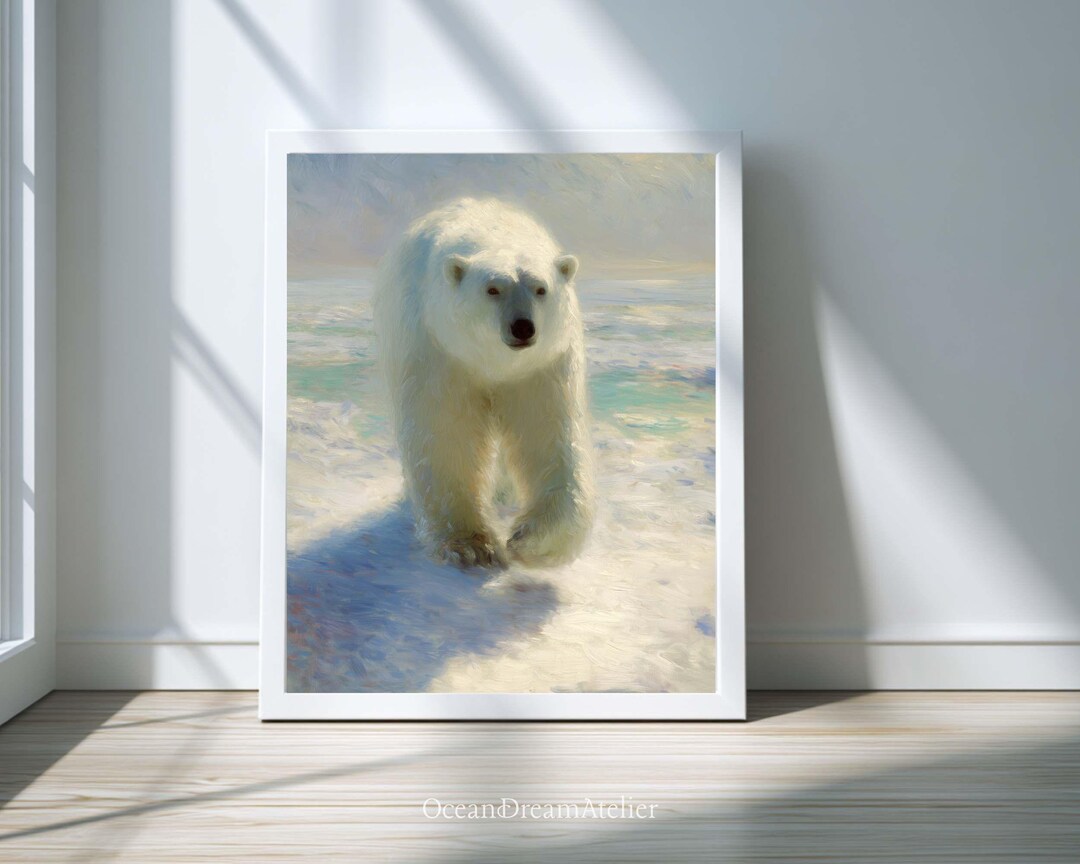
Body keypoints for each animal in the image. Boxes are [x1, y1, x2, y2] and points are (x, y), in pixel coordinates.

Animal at [373, 197, 594, 569]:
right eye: (493, 289)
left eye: (541, 289)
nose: (523, 327)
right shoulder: (437, 349)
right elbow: (445, 434)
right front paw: (469, 546)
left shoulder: (541, 366)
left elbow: (546, 432)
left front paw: (530, 540)